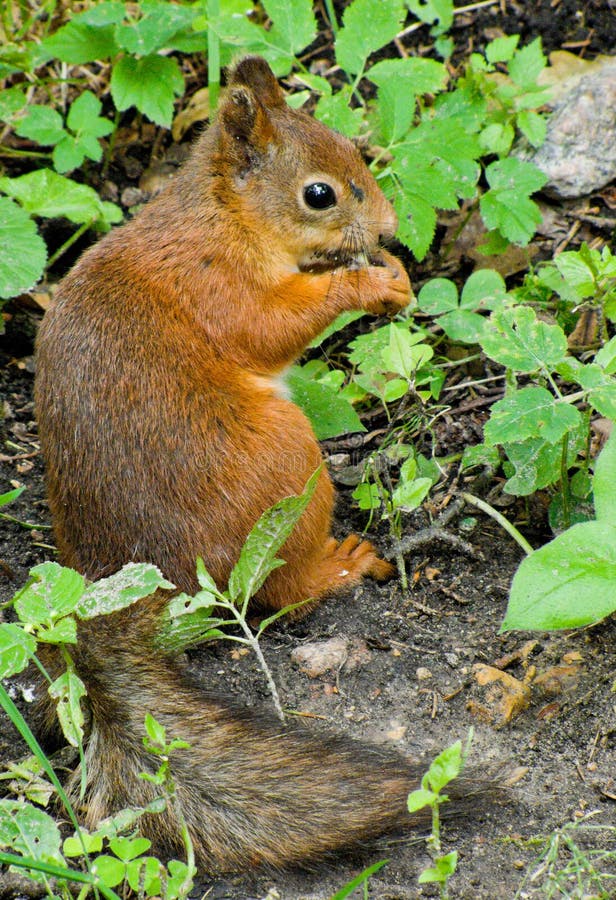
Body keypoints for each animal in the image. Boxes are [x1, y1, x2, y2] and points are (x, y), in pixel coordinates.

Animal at [34, 56, 478, 873]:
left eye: (354, 148)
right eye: (319, 193)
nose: (391, 232)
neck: (224, 219)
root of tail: (128, 575)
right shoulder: (220, 287)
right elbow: (273, 324)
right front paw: (370, 283)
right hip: (283, 468)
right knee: (281, 592)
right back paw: (341, 566)